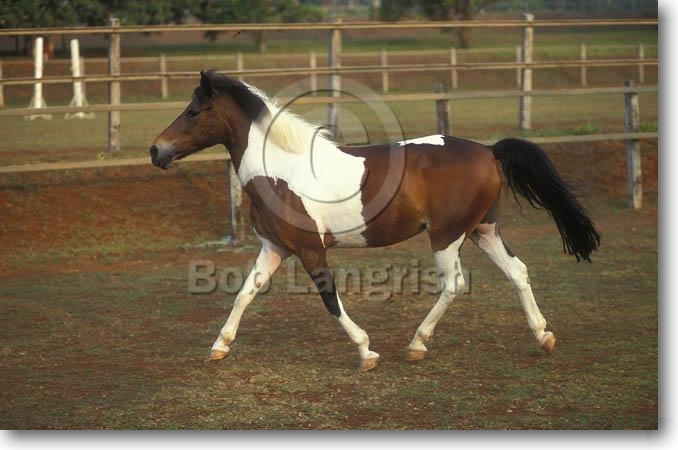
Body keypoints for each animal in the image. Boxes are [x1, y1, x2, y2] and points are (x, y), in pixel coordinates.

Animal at [150, 70, 600, 371]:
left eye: (192, 112)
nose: (157, 151)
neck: (281, 169)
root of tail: (489, 150)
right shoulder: (274, 248)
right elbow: (245, 293)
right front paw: (219, 346)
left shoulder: (310, 249)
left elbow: (330, 299)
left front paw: (366, 351)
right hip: (482, 230)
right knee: (517, 272)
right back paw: (543, 336)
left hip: (447, 236)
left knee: (454, 284)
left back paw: (417, 344)